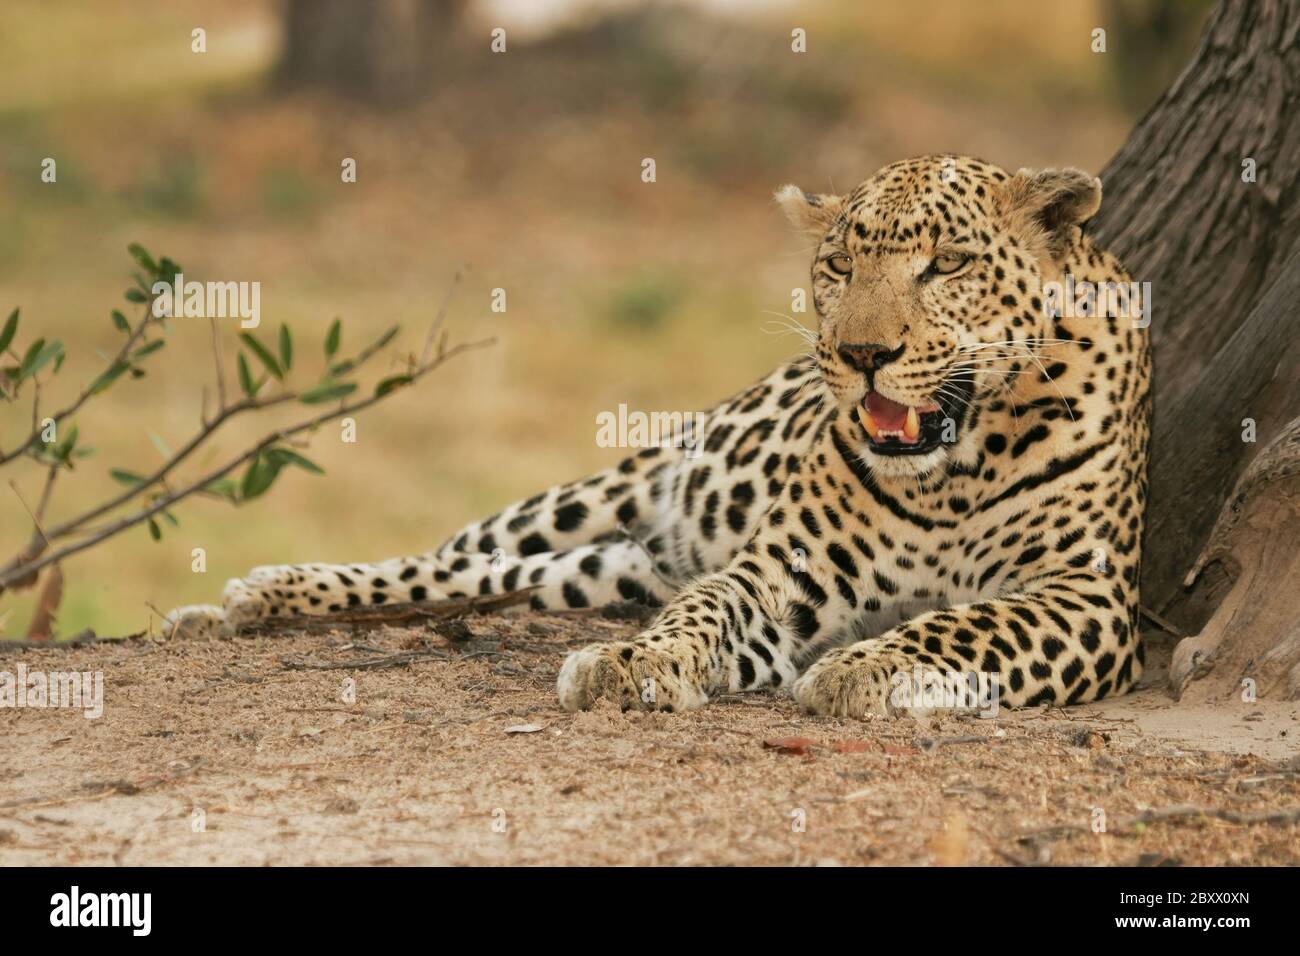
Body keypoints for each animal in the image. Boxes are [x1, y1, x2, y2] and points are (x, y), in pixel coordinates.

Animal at [166, 154, 1151, 719]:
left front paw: (860, 670)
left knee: (489, 578)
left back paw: (242, 603)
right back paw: (249, 597)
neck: (951, 471)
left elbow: (967, 622)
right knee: (444, 555)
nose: (862, 353)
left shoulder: (1088, 597)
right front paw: (635, 661)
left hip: (601, 568)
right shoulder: (780, 571)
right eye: (838, 265)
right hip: (597, 495)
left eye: (946, 264)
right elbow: (706, 611)